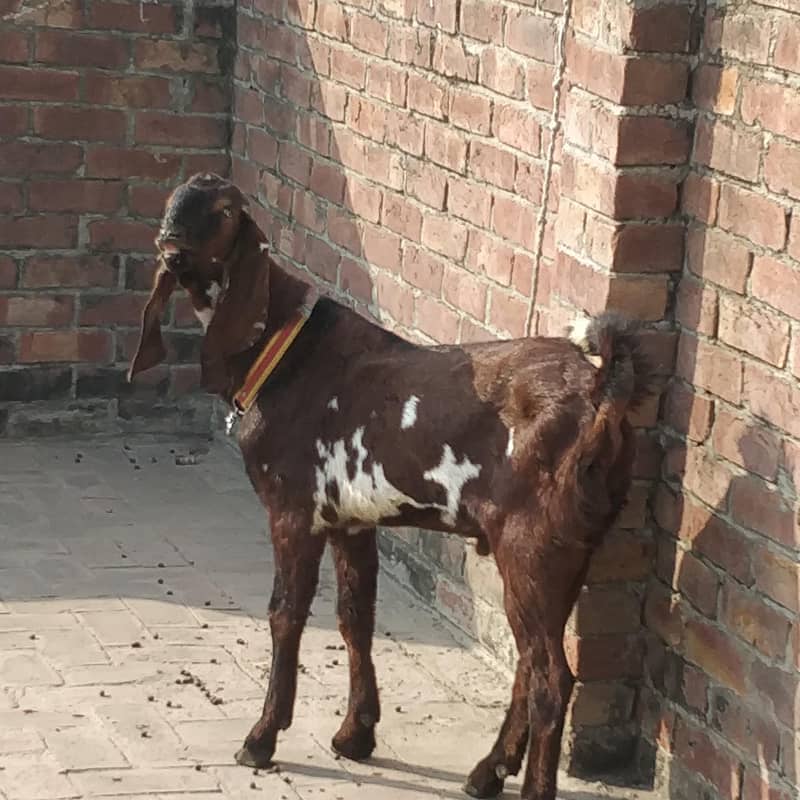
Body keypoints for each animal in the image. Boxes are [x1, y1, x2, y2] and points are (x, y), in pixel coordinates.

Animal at [128, 173, 654, 800]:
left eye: (227, 211)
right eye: (172, 201)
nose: (171, 244)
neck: (284, 349)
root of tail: (602, 393)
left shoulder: (293, 513)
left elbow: (285, 613)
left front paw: (262, 737)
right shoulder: (351, 521)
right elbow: (355, 616)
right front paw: (355, 734)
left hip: (531, 545)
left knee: (551, 677)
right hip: (572, 549)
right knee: (531, 662)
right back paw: (486, 771)